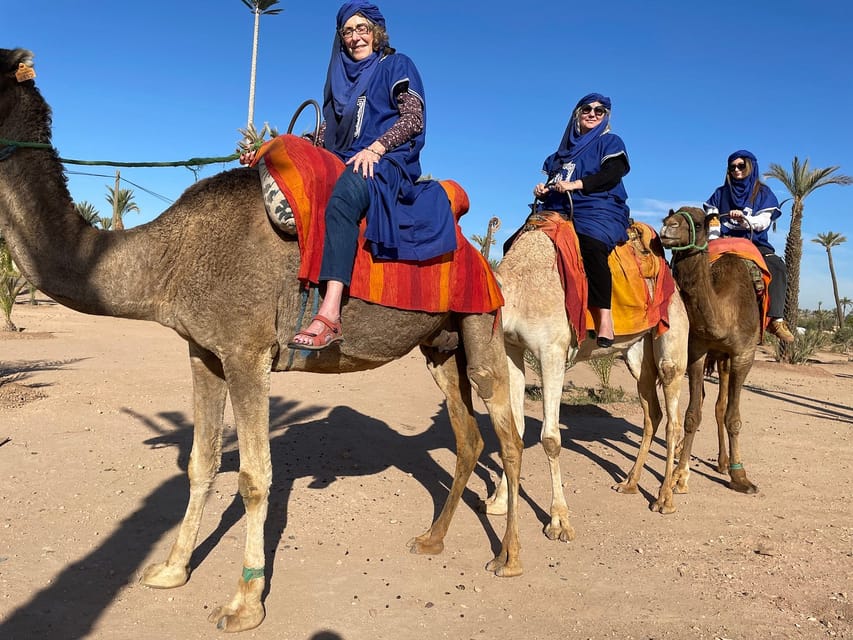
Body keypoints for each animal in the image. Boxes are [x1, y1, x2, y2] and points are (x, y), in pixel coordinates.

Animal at [0, 48, 523, 633]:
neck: (169, 258)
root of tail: (480, 252)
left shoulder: (247, 351)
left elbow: (253, 477)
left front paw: (244, 603)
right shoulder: (204, 351)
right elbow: (201, 463)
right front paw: (171, 570)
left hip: (481, 323)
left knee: (507, 432)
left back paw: (509, 557)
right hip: (439, 346)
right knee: (467, 436)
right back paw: (431, 539)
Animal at [484, 217, 690, 541]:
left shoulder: (552, 352)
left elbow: (551, 438)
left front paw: (559, 521)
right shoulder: (511, 348)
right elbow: (514, 431)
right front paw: (499, 501)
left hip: (672, 341)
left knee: (673, 417)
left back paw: (664, 497)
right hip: (636, 354)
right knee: (652, 413)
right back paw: (629, 483)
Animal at [659, 206, 761, 495]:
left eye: (700, 222)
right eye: (672, 214)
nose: (667, 226)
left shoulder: (744, 355)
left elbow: (733, 418)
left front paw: (741, 478)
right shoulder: (698, 350)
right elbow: (693, 414)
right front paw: (680, 475)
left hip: (727, 359)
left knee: (722, 406)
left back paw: (725, 463)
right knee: (711, 403)